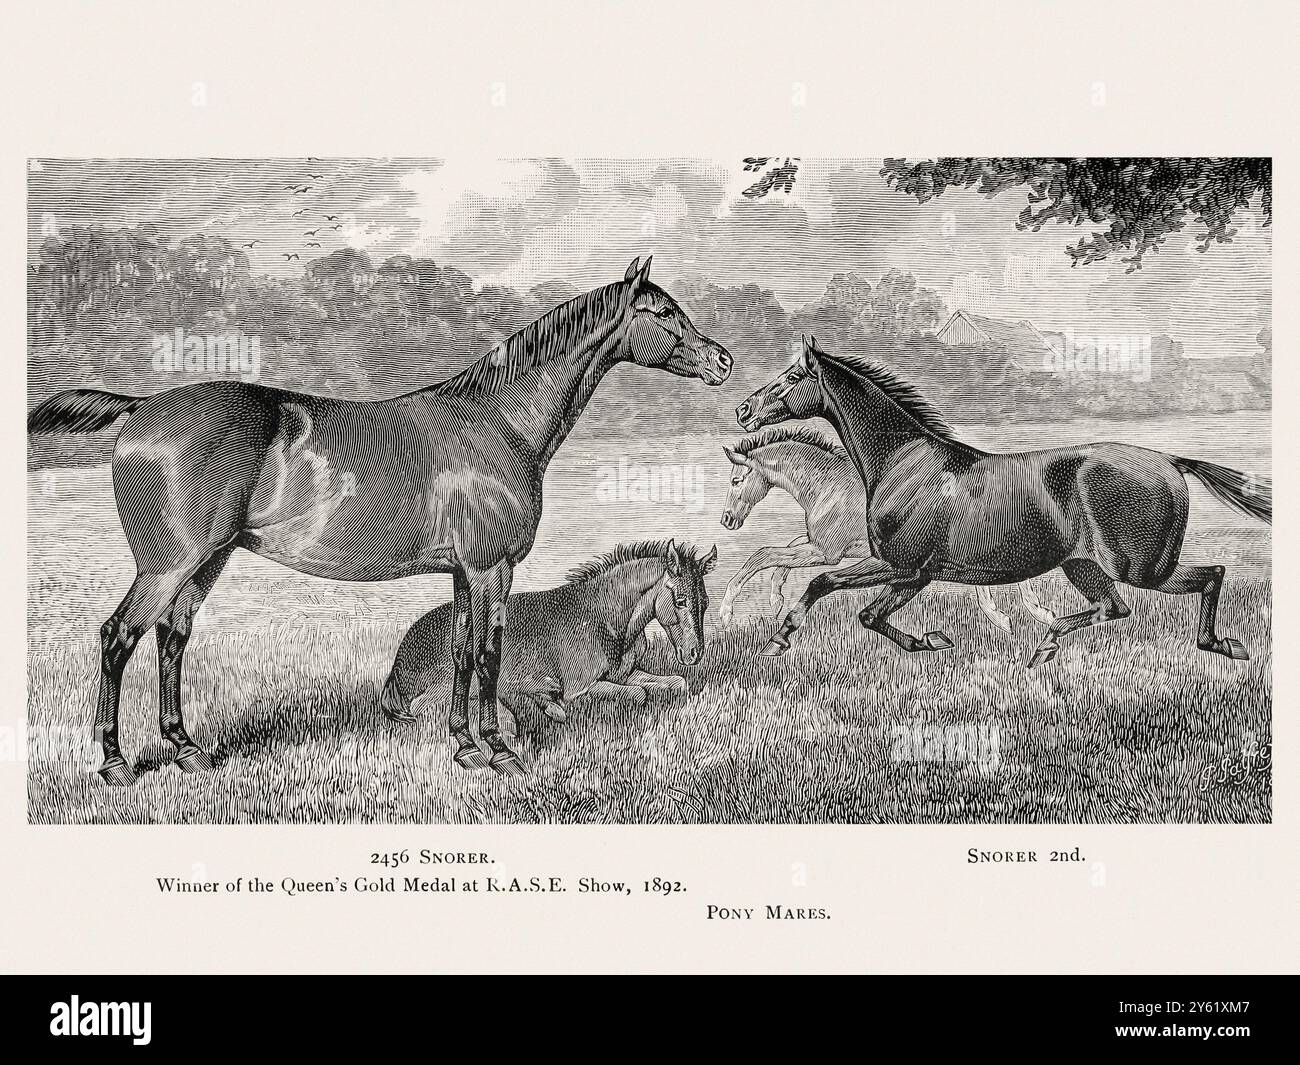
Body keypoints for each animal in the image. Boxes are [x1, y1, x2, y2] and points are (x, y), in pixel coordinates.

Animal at [381, 539, 717, 726]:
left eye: (705, 601)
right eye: (680, 600)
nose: (694, 653)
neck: (605, 616)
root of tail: (400, 655)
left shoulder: (628, 673)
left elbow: (677, 683)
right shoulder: (582, 688)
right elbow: (638, 695)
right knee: (427, 705)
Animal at [715, 427, 1051, 631]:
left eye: (736, 480)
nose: (727, 520)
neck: (827, 485)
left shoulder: (826, 553)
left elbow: (764, 554)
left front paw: (727, 612)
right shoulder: (824, 546)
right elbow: (781, 554)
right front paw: (776, 601)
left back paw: (1019, 614)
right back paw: (1021, 614)